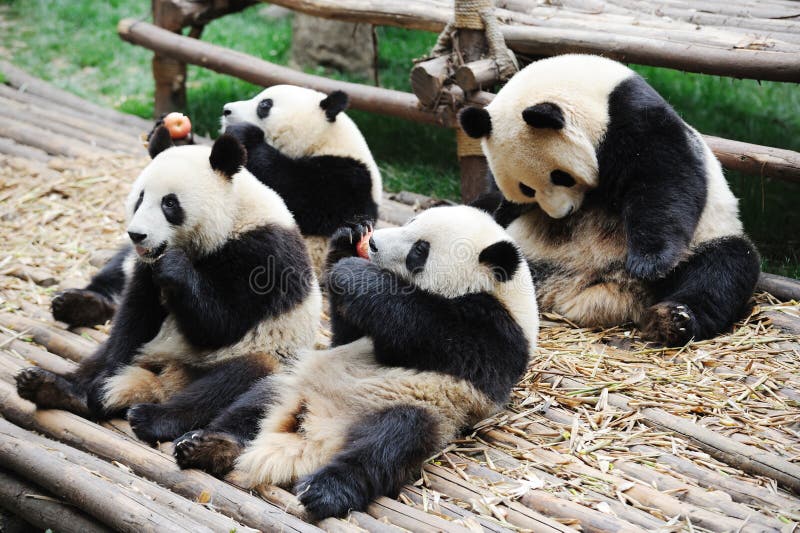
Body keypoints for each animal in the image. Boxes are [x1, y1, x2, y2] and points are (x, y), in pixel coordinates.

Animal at [16, 129, 322, 445]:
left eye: (170, 203)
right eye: (139, 198)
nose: (137, 235)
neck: (232, 218)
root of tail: (166, 378)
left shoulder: (263, 252)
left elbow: (221, 324)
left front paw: (176, 268)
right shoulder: (145, 270)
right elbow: (135, 318)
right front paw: (98, 383)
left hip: (262, 356)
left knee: (242, 381)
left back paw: (162, 422)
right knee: (104, 354)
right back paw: (56, 387)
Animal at [51, 85, 381, 327]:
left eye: (265, 104)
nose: (226, 110)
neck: (326, 139)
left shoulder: (349, 179)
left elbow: (301, 193)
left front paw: (244, 135)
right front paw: (171, 133)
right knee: (115, 272)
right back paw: (77, 304)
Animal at [174, 205, 539, 519]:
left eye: (419, 251)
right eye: (411, 221)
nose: (373, 243)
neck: (499, 291)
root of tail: (316, 432)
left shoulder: (499, 339)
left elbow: (436, 333)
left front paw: (356, 274)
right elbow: (347, 336)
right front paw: (348, 240)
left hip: (420, 408)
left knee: (389, 442)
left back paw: (324, 490)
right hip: (294, 383)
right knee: (255, 403)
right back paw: (206, 446)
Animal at [458, 54, 760, 346]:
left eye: (560, 177)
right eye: (526, 189)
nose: (561, 213)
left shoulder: (637, 122)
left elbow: (665, 181)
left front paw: (649, 263)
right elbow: (493, 199)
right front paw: (504, 208)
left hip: (709, 237)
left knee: (723, 269)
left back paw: (673, 320)